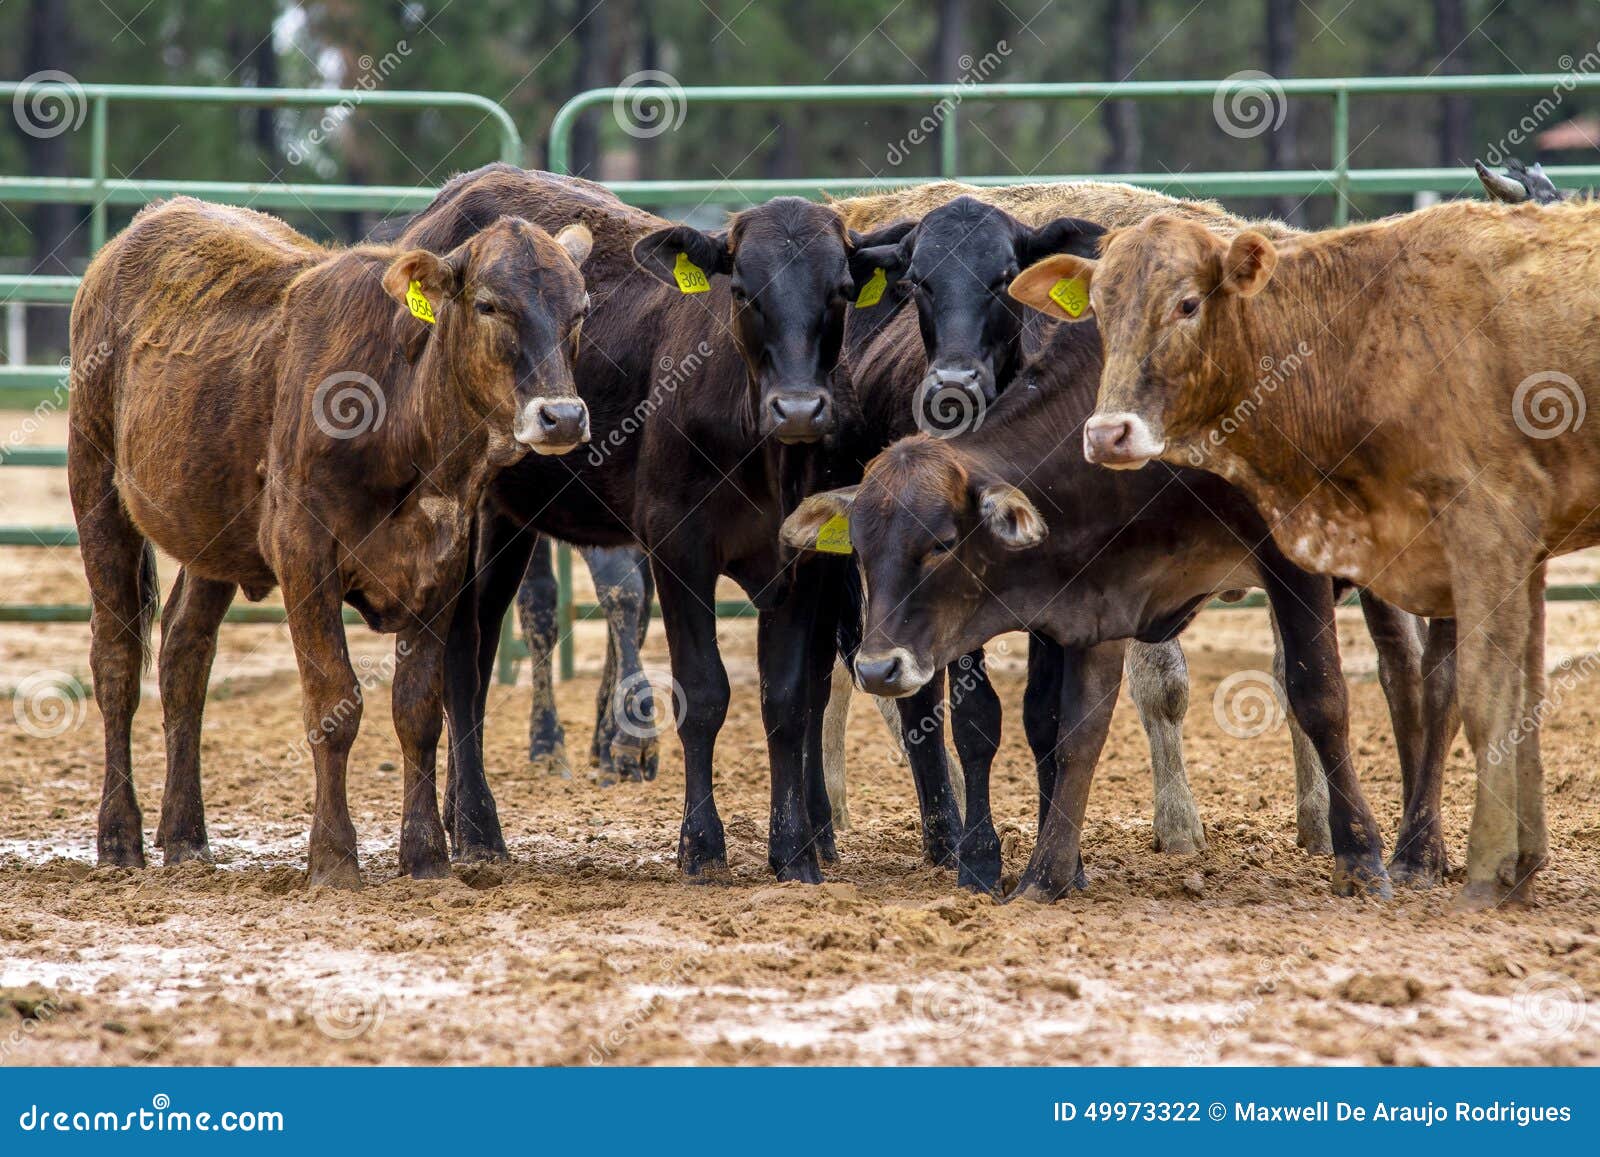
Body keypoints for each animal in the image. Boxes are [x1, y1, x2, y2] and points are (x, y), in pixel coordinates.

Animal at [68, 196, 592, 887]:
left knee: (184, 655)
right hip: (94, 482)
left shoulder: (443, 565)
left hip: (212, 531)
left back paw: (185, 837)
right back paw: (118, 838)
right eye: (488, 304)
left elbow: (418, 709)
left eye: (579, 310)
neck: (401, 414)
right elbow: (333, 704)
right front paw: (335, 856)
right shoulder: (303, 555)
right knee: (118, 662)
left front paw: (426, 854)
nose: (562, 418)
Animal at [1020, 196, 1600, 907]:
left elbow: (1355, 691)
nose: (1107, 434)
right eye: (1099, 309)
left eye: (1188, 303)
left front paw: (1376, 858)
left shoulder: (1480, 530)